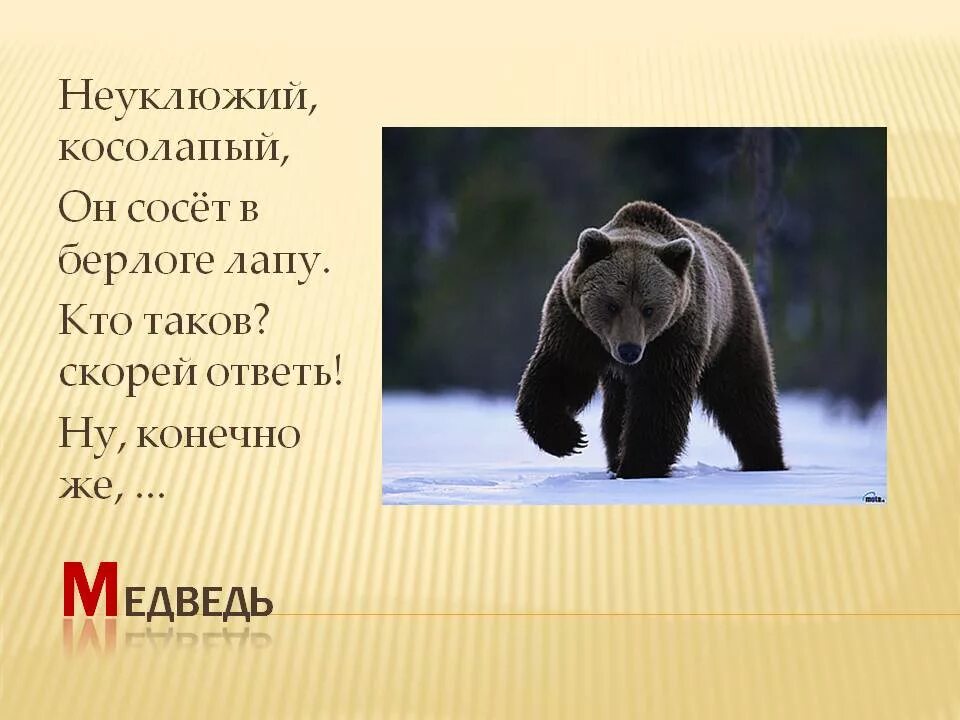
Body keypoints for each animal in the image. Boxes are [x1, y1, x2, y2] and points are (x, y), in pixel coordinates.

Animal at [516, 200, 786, 478]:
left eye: (648, 309)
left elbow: (659, 398)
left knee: (743, 394)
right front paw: (568, 437)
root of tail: (728, 250)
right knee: (616, 412)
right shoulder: (575, 325)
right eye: (612, 305)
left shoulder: (675, 334)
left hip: (731, 327)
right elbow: (561, 373)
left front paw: (638, 466)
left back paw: (766, 460)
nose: (629, 350)